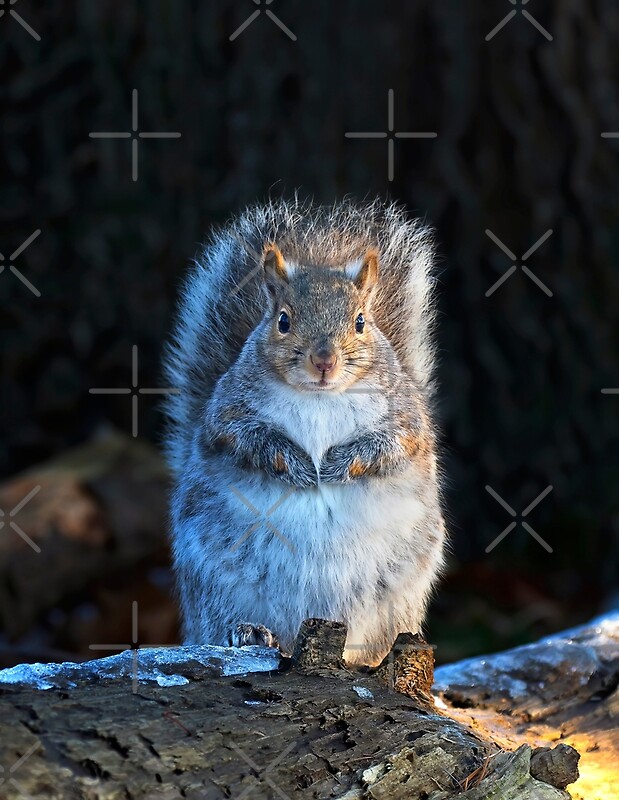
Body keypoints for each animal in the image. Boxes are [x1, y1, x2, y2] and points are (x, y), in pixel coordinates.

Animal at [164, 198, 445, 666]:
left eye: (361, 322)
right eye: (282, 320)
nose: (324, 361)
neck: (320, 397)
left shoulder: (407, 418)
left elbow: (392, 446)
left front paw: (336, 466)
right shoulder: (227, 413)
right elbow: (246, 439)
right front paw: (296, 466)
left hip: (396, 599)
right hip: (217, 585)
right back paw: (251, 633)